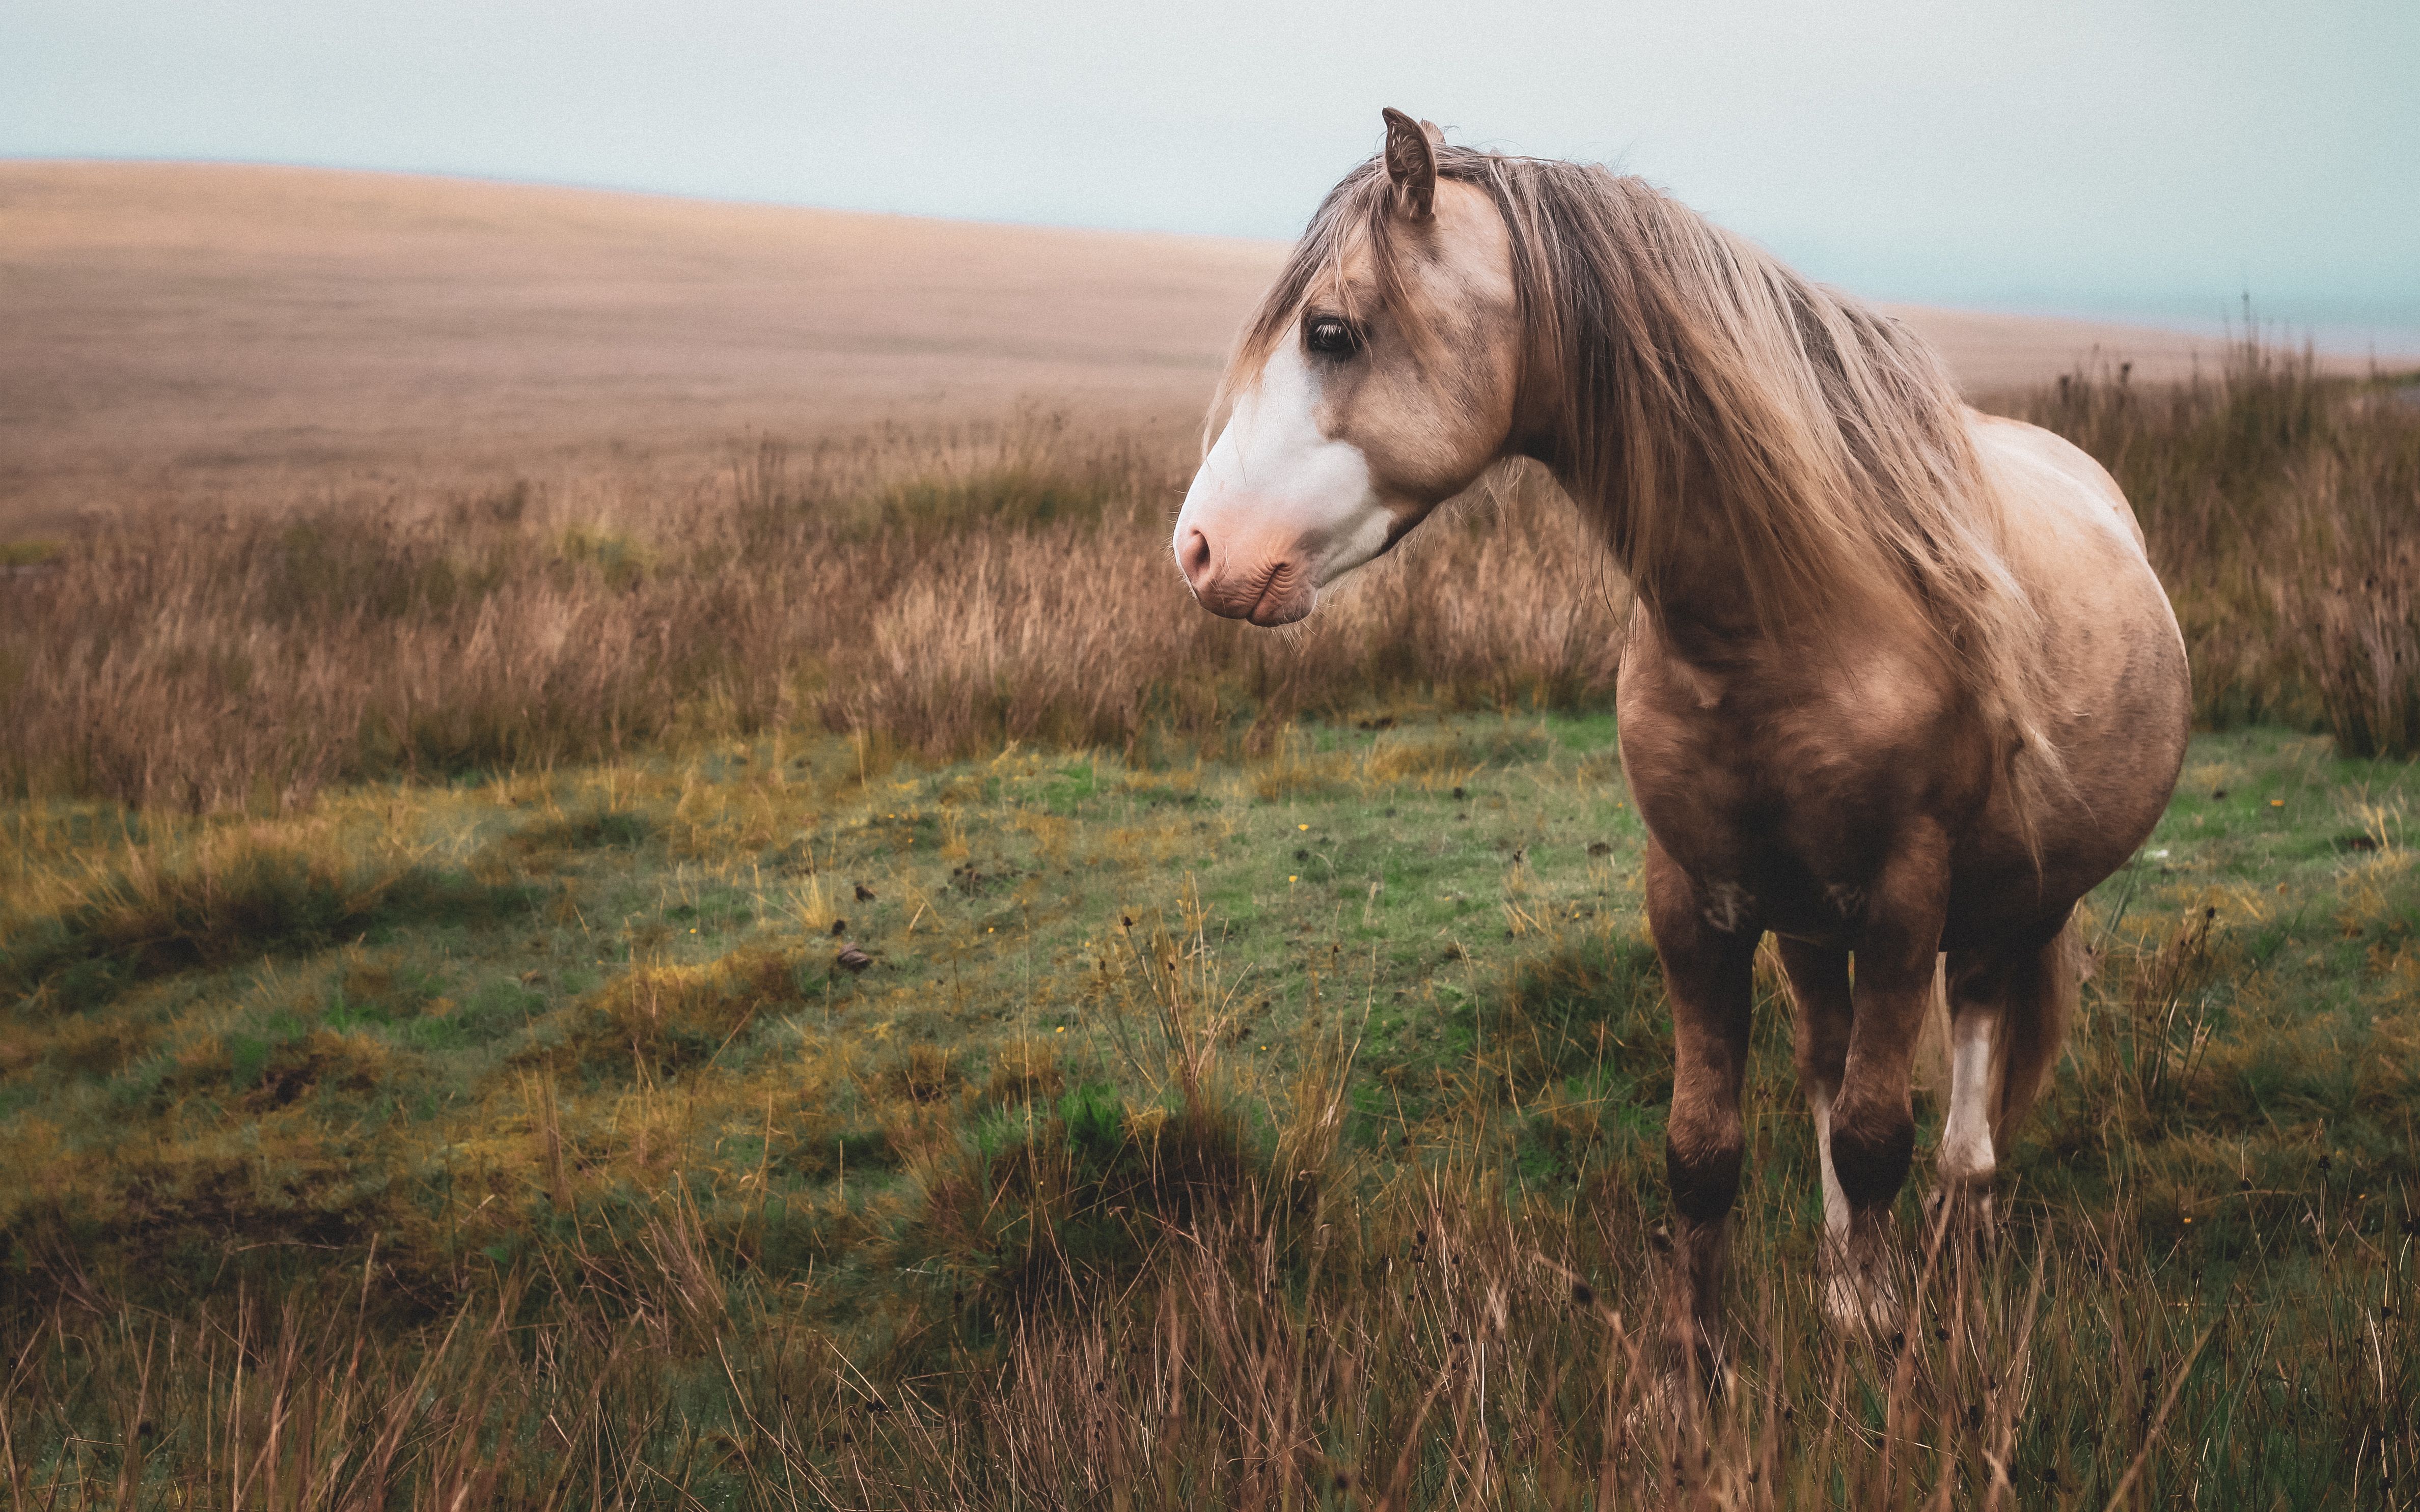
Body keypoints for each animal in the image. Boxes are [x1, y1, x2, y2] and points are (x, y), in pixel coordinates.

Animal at [1171, 109, 2189, 1369]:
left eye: (1331, 332)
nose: (1201, 550)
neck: (1787, 622)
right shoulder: (1696, 900)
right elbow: (1706, 1154)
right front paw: (1699, 1365)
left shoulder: (1907, 901)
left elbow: (1875, 1133)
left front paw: (1878, 1342)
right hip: (1810, 921)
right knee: (1828, 1054)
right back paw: (1851, 1271)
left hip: (2010, 904)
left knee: (1972, 1051)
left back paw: (1962, 1225)